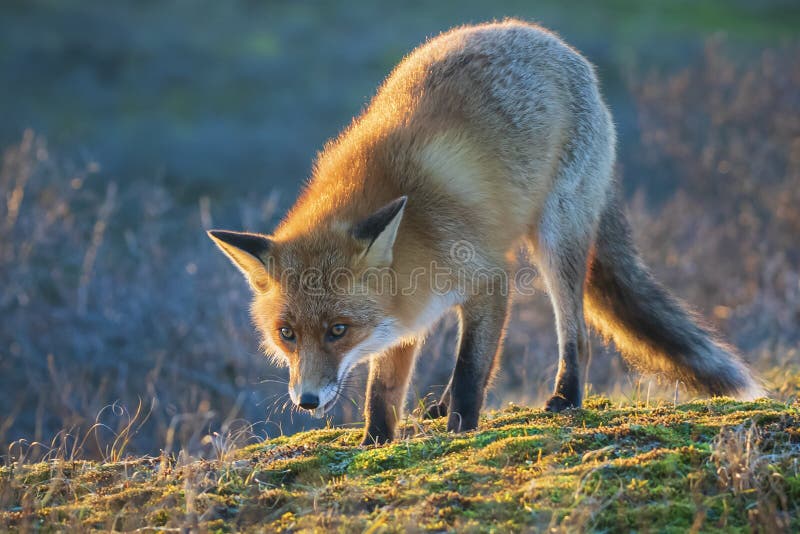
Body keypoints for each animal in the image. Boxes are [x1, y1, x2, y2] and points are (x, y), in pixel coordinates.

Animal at [208, 20, 763, 445]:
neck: (414, 235)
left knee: (578, 335)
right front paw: (376, 443)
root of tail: (551, 40)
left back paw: (565, 397)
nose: (306, 401)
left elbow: (471, 369)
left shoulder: (490, 279)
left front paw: (460, 430)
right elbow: (383, 390)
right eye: (287, 334)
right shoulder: (404, 317)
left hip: (556, 241)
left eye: (338, 330)